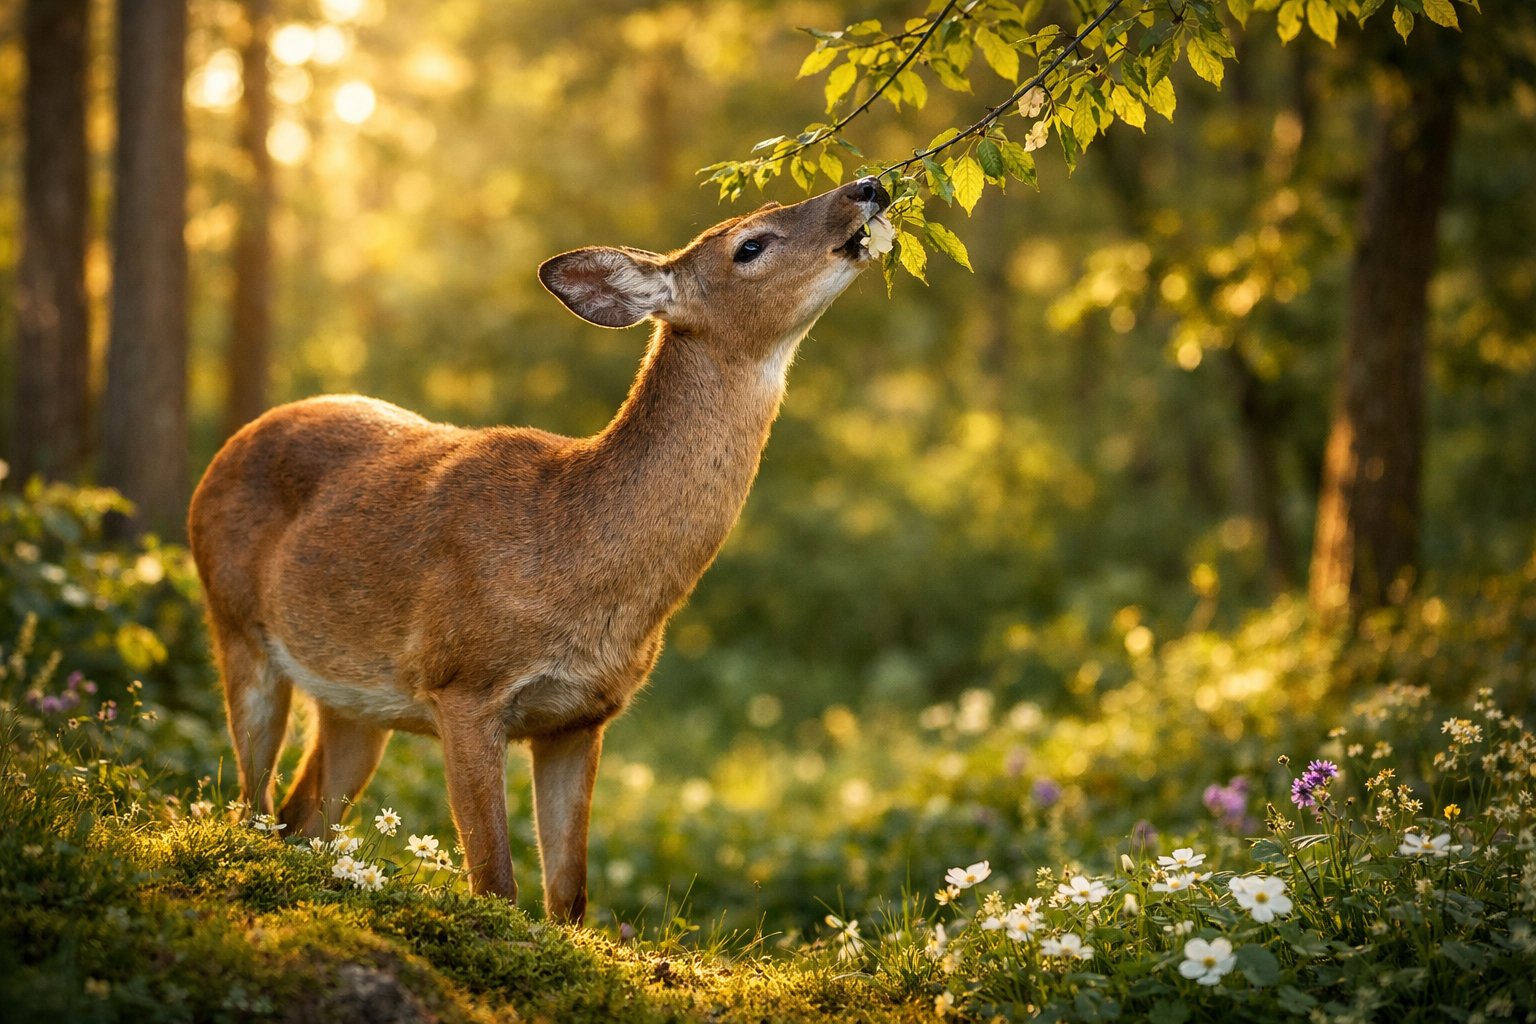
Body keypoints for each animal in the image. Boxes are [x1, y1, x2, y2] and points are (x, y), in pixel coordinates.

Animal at [187, 176, 892, 923]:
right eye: (749, 245)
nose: (867, 186)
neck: (575, 553)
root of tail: (226, 450)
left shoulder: (582, 716)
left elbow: (569, 896)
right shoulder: (462, 683)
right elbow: (496, 881)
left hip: (353, 702)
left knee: (300, 818)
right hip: (234, 623)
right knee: (250, 803)